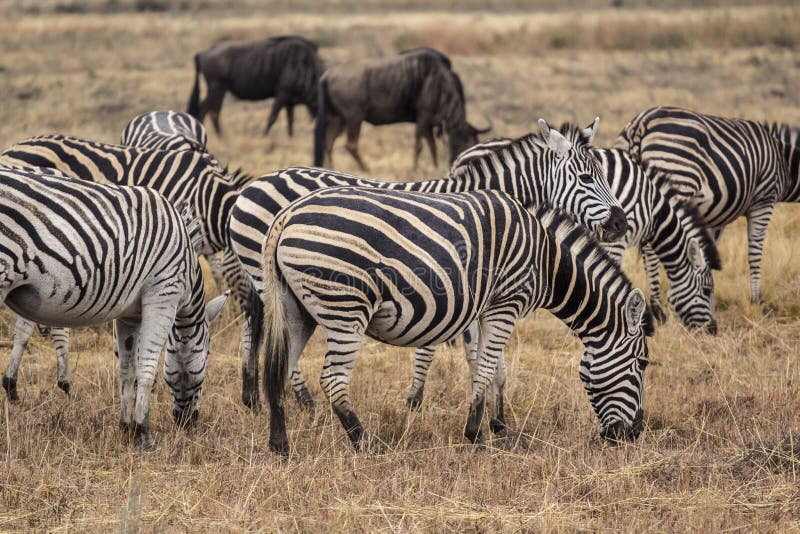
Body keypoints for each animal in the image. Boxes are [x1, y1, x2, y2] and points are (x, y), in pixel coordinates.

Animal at [0, 166, 228, 448]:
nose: (189, 422)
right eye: (208, 355)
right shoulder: (162, 297)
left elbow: (128, 369)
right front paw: (143, 434)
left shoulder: (129, 315)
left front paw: (126, 427)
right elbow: (147, 368)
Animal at [231, 118, 628, 409]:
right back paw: (302, 400)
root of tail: (255, 183)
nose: (619, 223)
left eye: (604, 175)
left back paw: (254, 398)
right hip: (270, 276)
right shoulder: (453, 277)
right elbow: (444, 347)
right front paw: (418, 400)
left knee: (254, 327)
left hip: (266, 278)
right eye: (586, 178)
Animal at [259, 187, 653, 454]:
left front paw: (499, 426)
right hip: (346, 308)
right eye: (641, 364)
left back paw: (280, 445)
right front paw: (476, 435)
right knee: (332, 379)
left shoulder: (484, 308)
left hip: (297, 308)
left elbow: (492, 368)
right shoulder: (506, 303)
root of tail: (288, 215)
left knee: (280, 369)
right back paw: (365, 443)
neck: (546, 262)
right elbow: (486, 367)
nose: (634, 434)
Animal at [616, 105, 796, 304]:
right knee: (651, 249)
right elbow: (755, 251)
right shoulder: (764, 200)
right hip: (676, 180)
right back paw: (656, 302)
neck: (783, 161)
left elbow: (705, 249)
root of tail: (641, 123)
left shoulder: (716, 216)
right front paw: (756, 299)